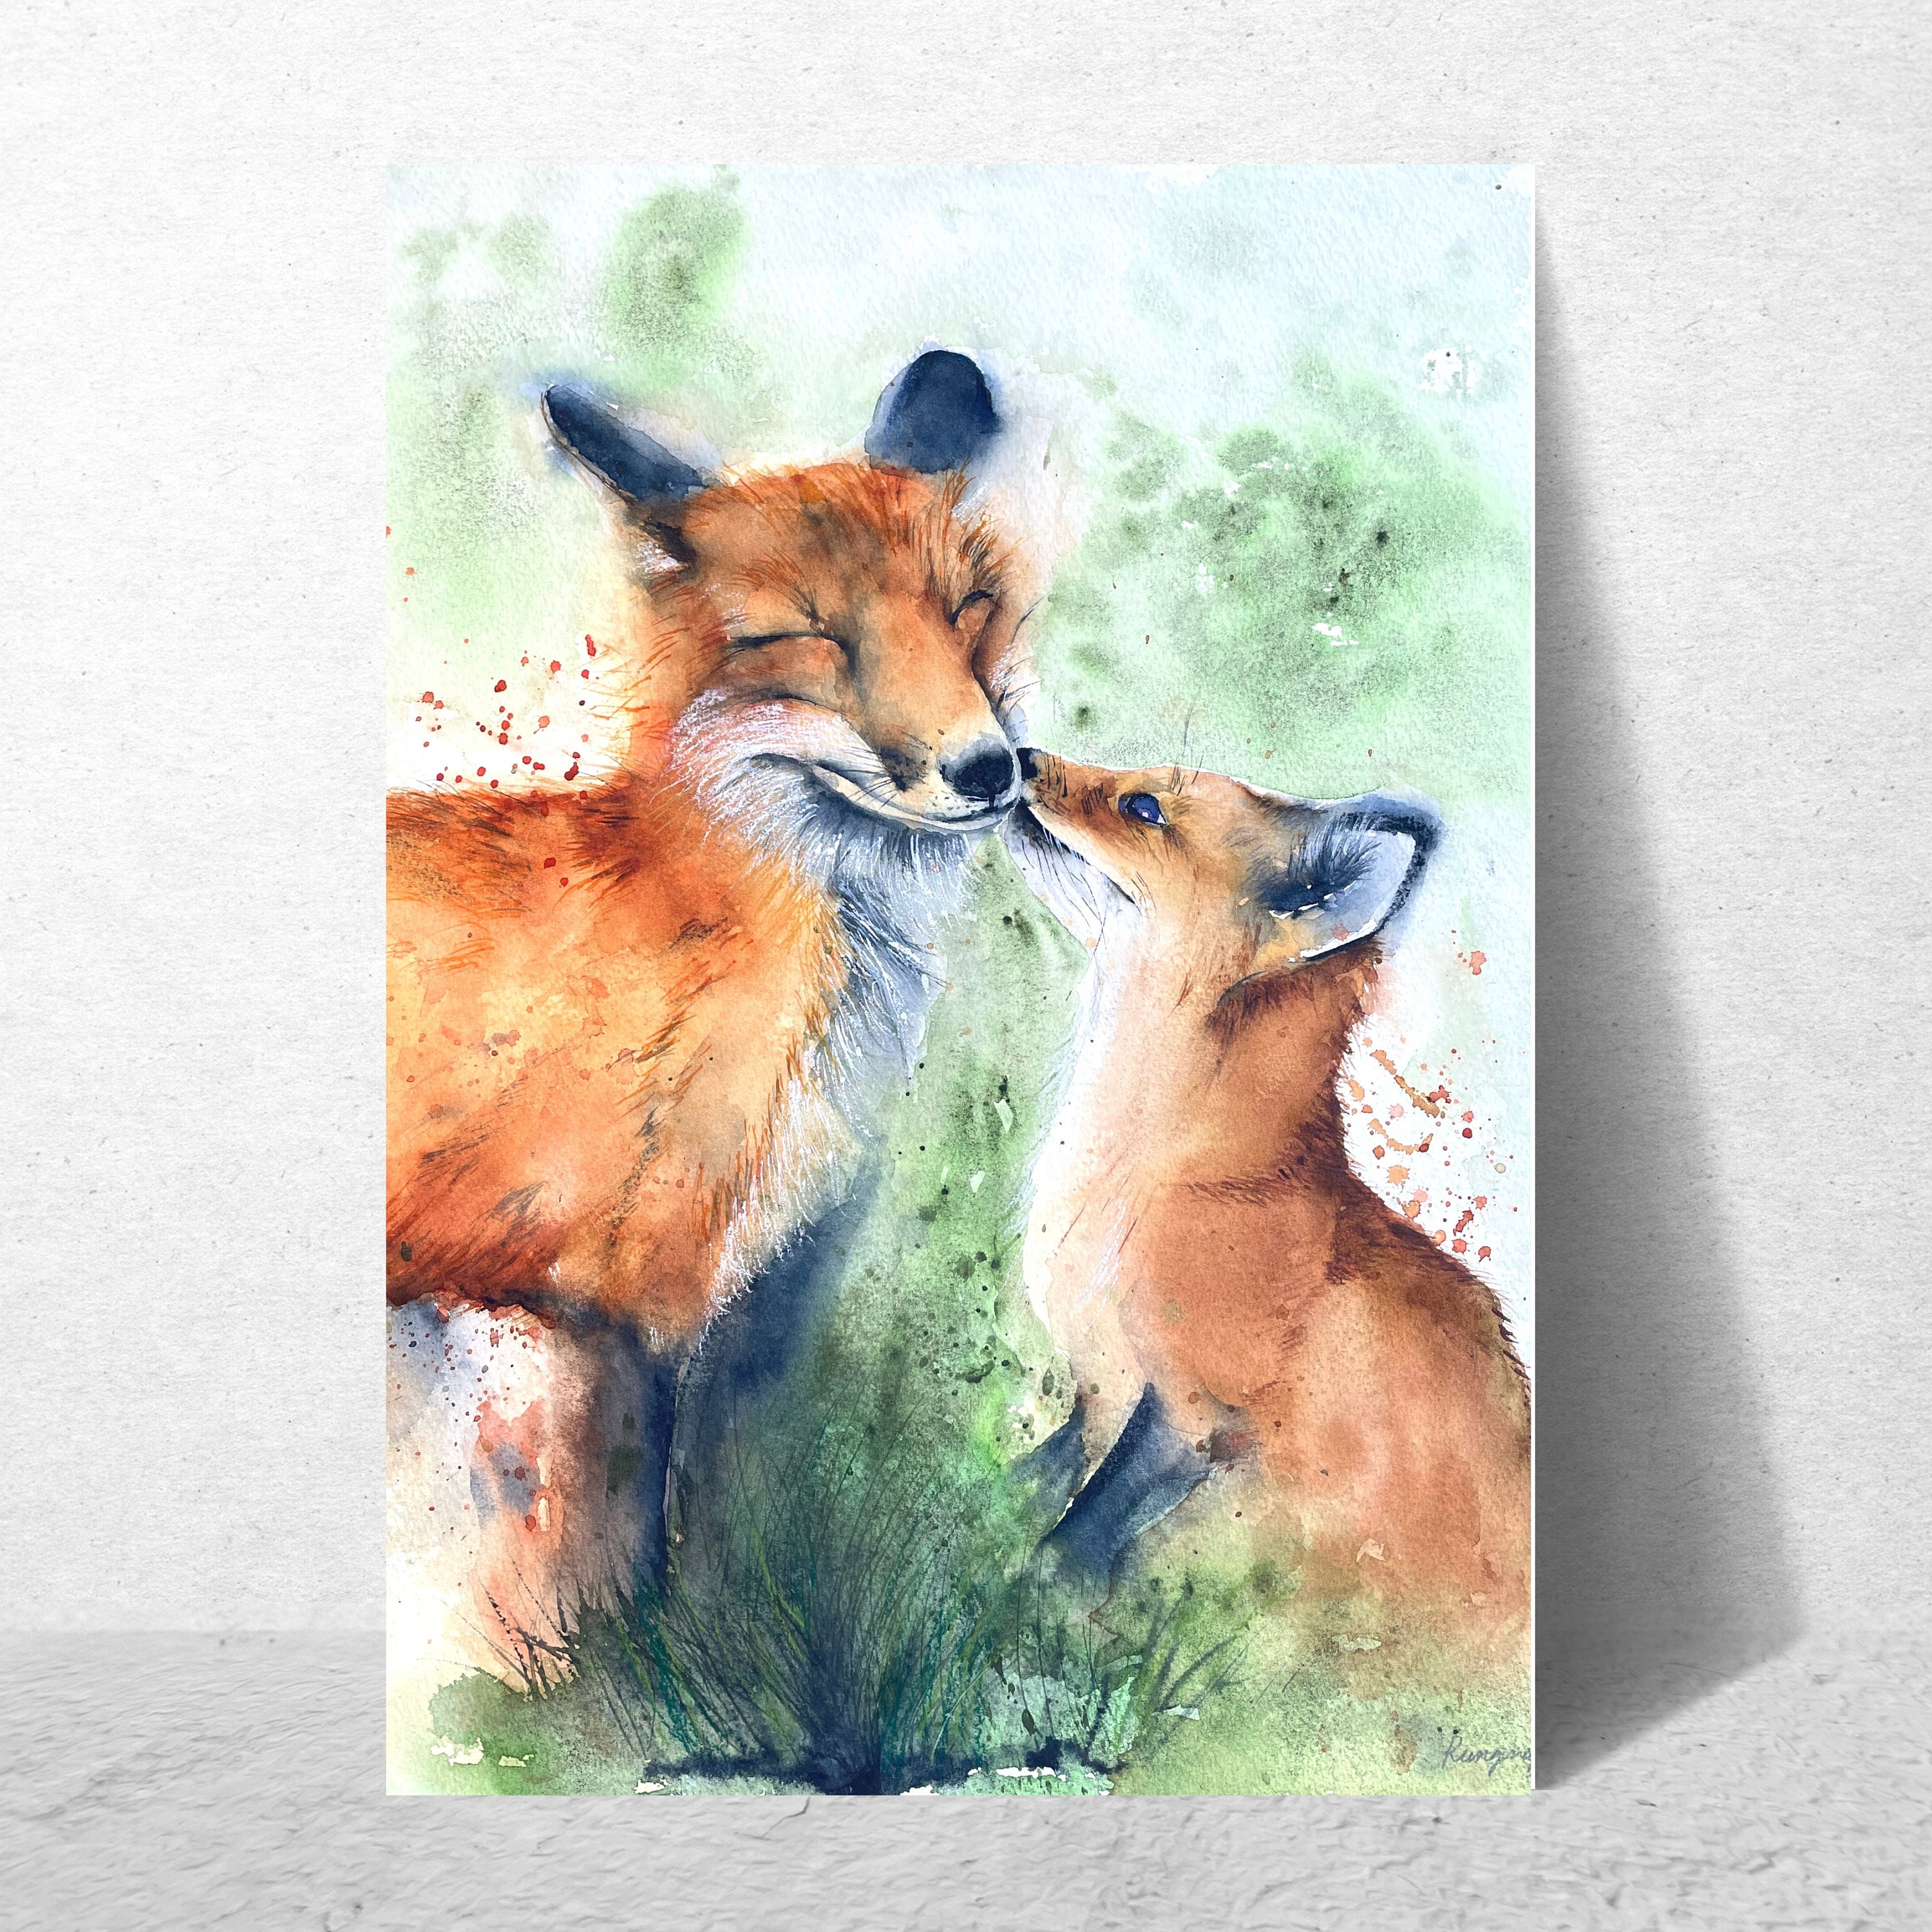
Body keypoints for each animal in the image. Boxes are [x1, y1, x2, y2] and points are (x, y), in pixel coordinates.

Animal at [386, 351, 1035, 1631]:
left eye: (966, 608)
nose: (992, 769)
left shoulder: (754, 1306)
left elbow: (723, 1536)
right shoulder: (609, 1310)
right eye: (808, 637)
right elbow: (630, 1583)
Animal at [1006, 750, 1530, 1657]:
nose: (1017, 756)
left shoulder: (1194, 1410)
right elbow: (1034, 1484)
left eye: (1142, 808)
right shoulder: (1100, 1384)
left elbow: (1069, 1547)